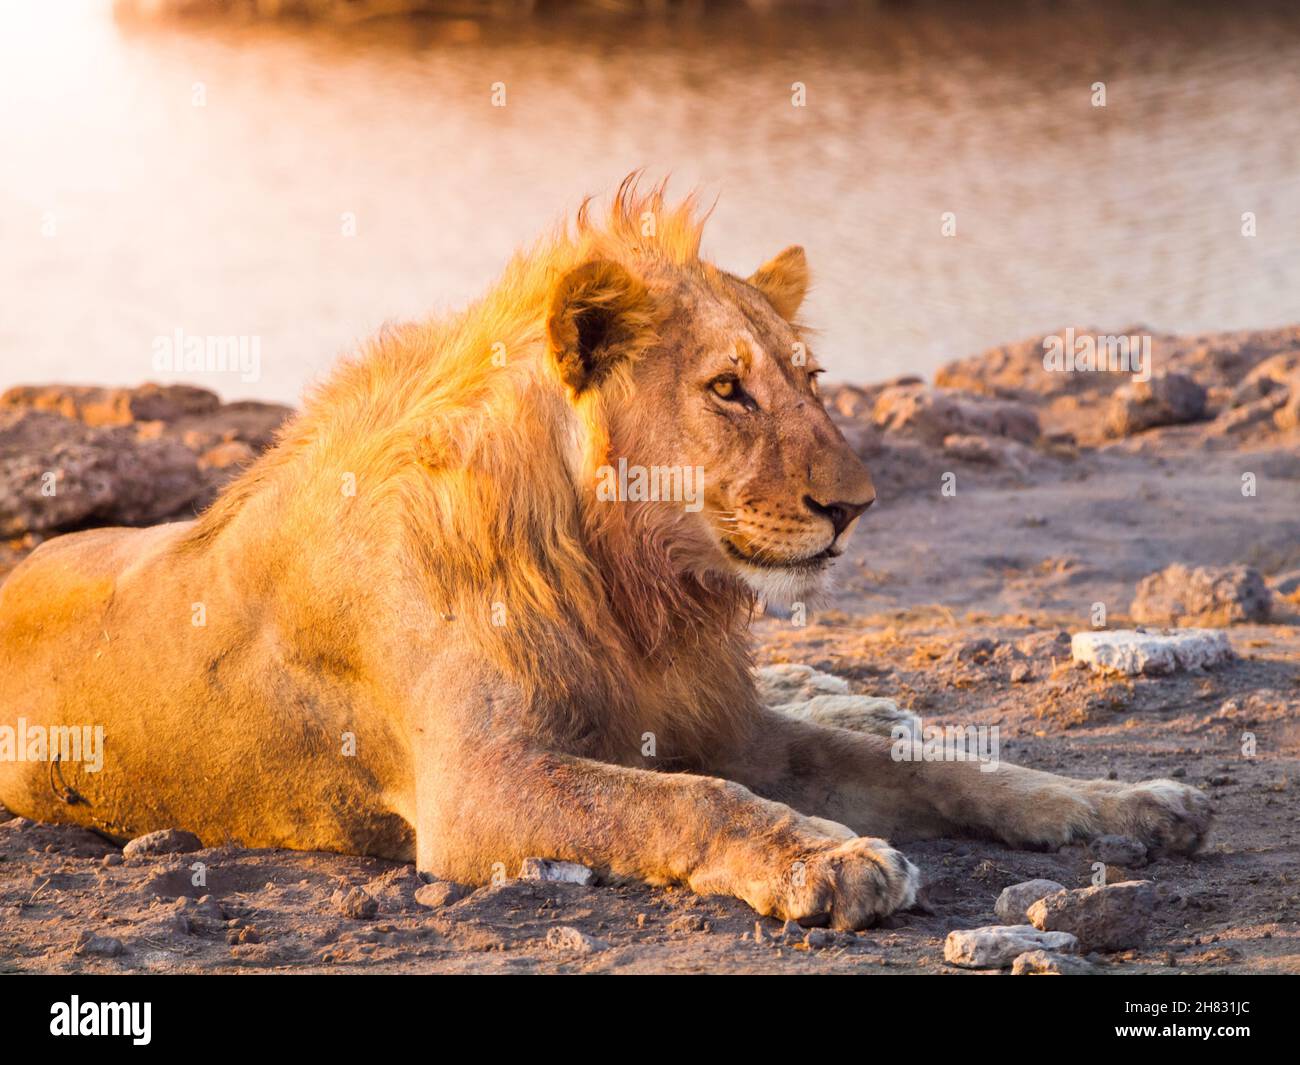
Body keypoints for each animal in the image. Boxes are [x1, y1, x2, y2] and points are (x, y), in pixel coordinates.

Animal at [0, 178, 1210, 929]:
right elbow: (687, 803)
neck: (635, 589)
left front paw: (1128, 805)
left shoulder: (730, 728)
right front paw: (833, 860)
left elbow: (942, 770)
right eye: (727, 389)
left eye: (810, 381)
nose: (856, 507)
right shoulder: (477, 789)